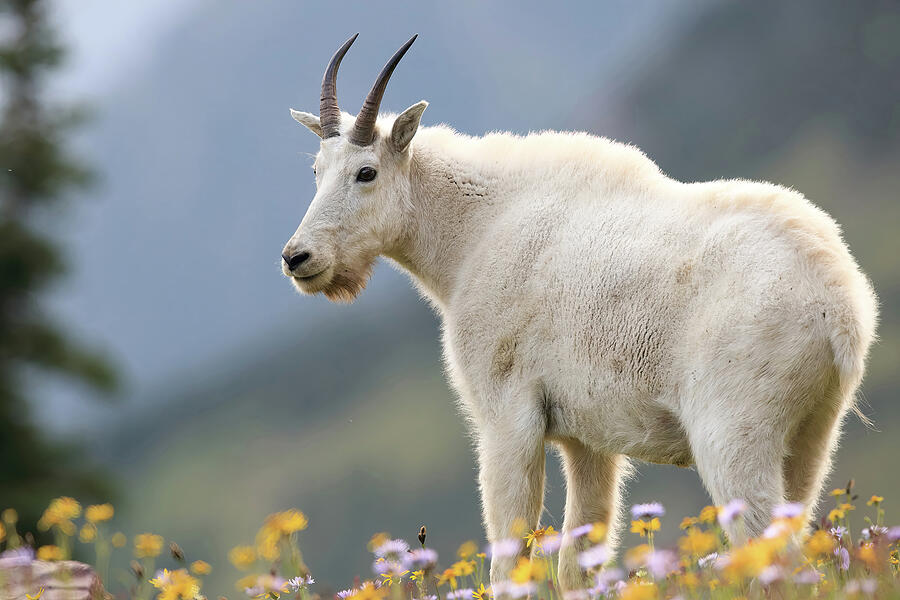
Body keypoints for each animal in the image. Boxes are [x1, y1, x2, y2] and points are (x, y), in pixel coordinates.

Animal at [280, 34, 878, 590]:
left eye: (366, 172)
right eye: (314, 170)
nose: (298, 258)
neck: (474, 231)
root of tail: (838, 305)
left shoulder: (508, 415)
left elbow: (510, 555)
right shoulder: (588, 439)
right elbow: (577, 562)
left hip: (734, 432)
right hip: (812, 436)